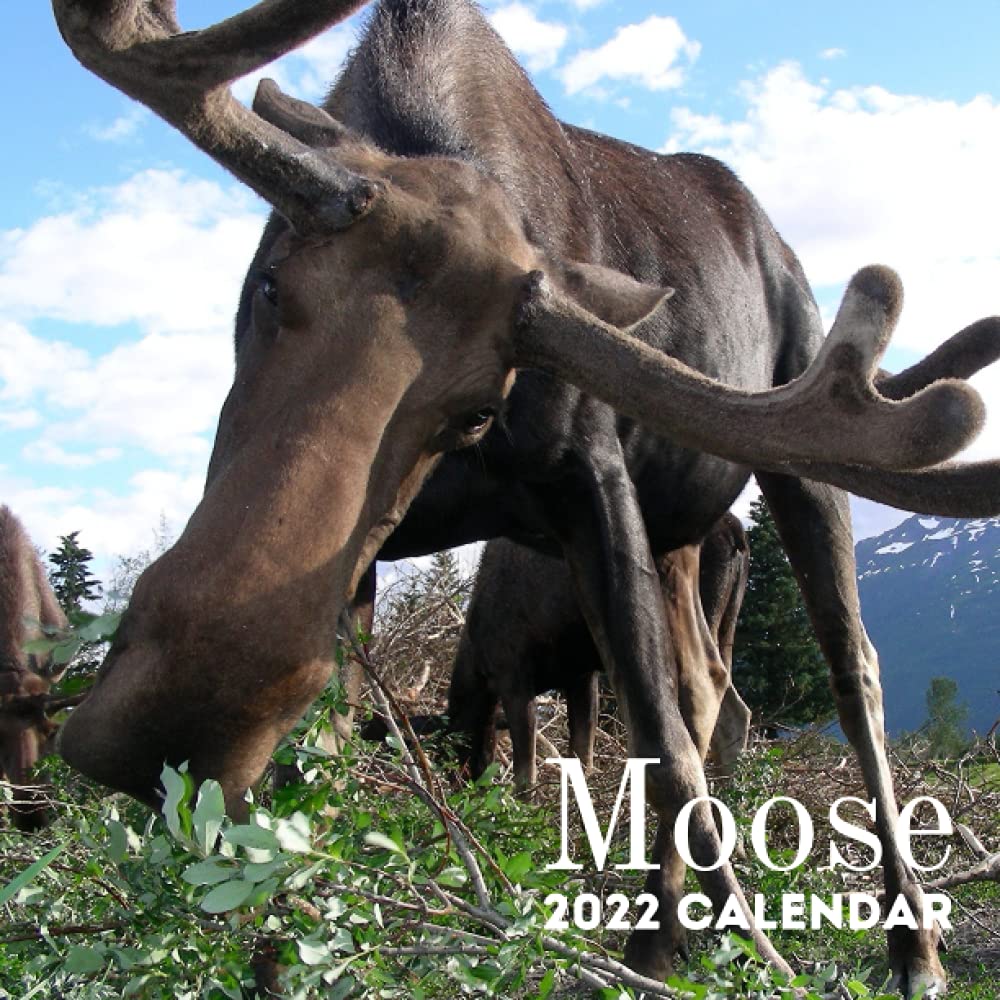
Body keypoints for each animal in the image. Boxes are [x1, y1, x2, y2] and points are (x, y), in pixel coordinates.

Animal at [448, 514, 752, 791]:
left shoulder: (514, 674)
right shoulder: (580, 676)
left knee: (702, 689)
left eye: (452, 747)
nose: (462, 789)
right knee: (733, 710)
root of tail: (736, 534)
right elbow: (582, 757)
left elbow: (526, 774)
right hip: (724, 627)